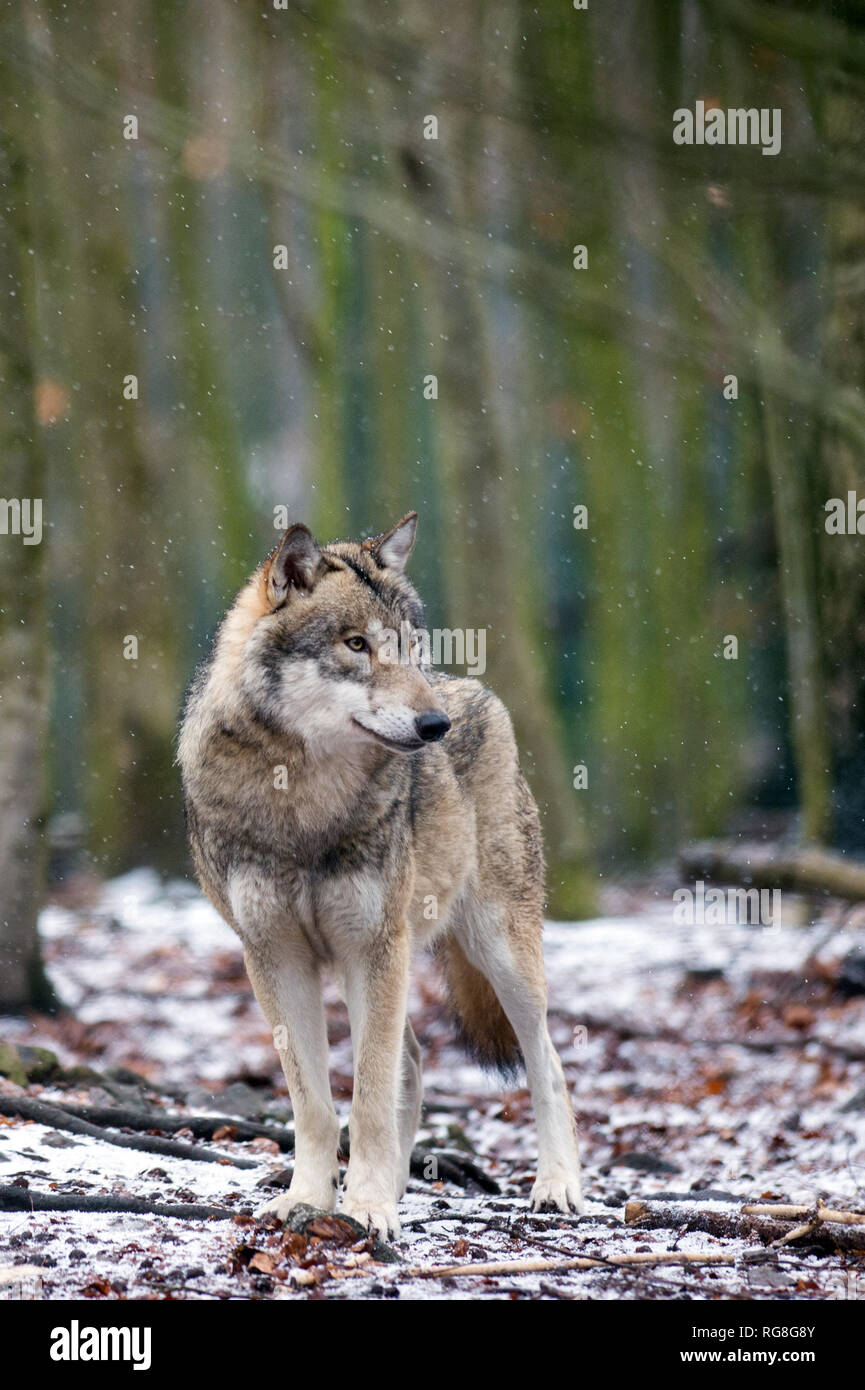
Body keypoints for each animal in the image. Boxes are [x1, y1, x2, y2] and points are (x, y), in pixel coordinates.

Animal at [178, 513, 582, 1238]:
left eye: (408, 646)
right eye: (357, 644)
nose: (434, 726)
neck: (300, 797)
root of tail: (472, 690)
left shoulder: (374, 946)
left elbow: (366, 1093)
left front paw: (364, 1206)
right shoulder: (275, 956)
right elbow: (315, 1101)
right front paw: (313, 1200)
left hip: (495, 951)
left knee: (547, 1058)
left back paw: (556, 1186)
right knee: (414, 1059)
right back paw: (397, 1188)